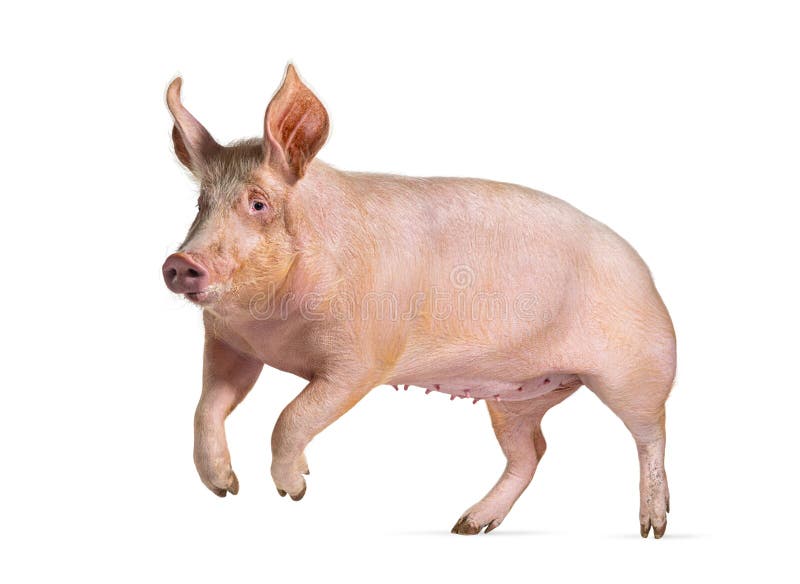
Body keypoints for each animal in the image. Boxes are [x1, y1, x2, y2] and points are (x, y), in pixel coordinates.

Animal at [162, 64, 676, 538]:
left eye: (258, 204)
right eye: (201, 204)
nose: (179, 261)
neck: (271, 328)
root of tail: (645, 272)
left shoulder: (362, 360)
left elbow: (291, 416)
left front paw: (296, 490)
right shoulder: (230, 344)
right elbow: (207, 406)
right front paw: (224, 488)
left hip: (637, 369)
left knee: (652, 433)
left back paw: (653, 526)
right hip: (516, 396)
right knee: (532, 451)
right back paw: (468, 525)